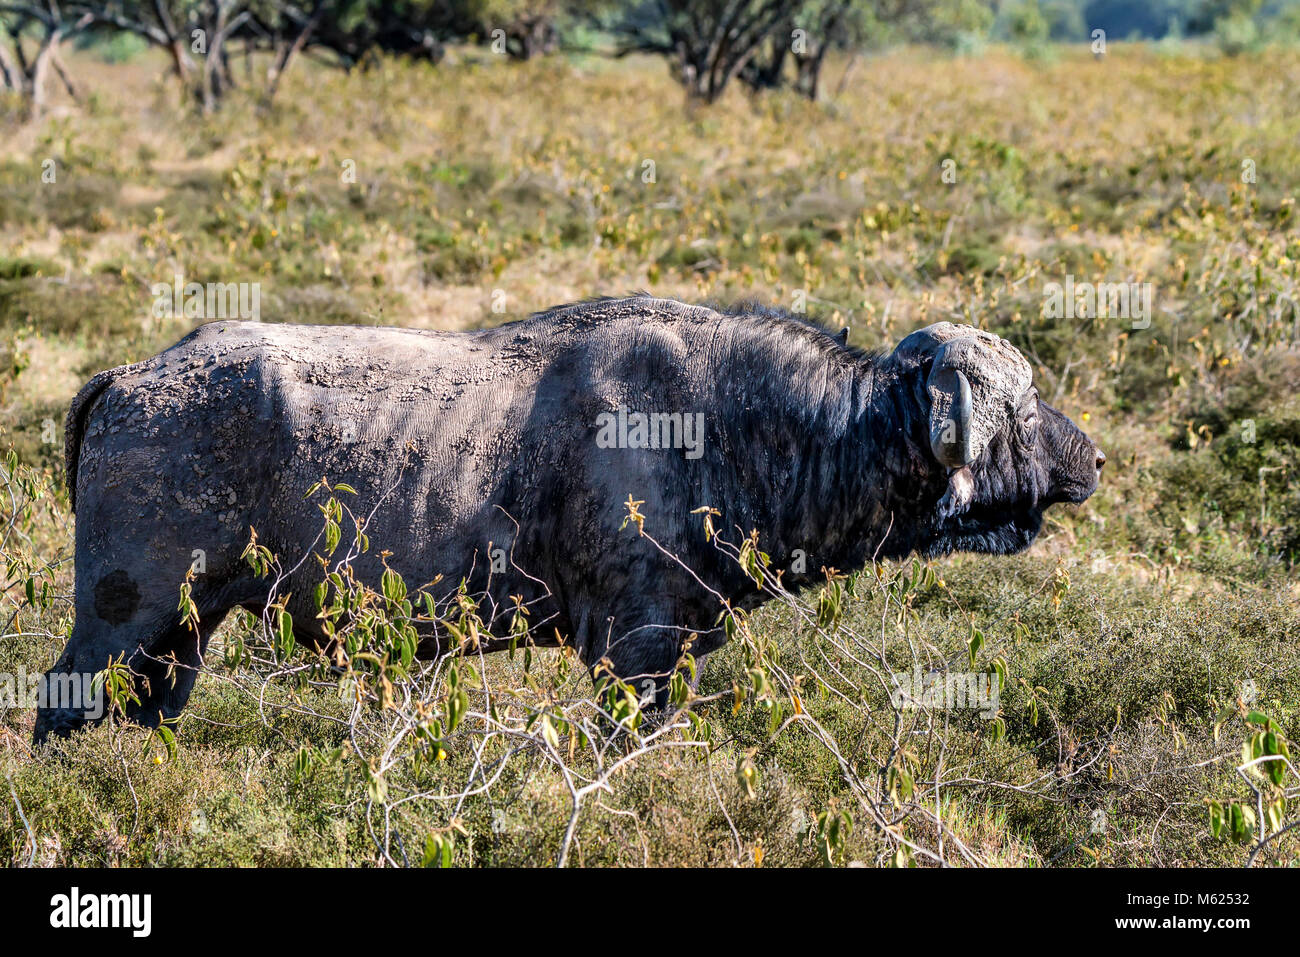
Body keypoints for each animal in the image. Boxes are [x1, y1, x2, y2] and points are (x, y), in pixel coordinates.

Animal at [34, 295, 1103, 742]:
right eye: (1020, 405)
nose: (1092, 456)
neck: (731, 421)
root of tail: (133, 376)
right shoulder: (635, 652)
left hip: (181, 637)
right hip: (120, 622)